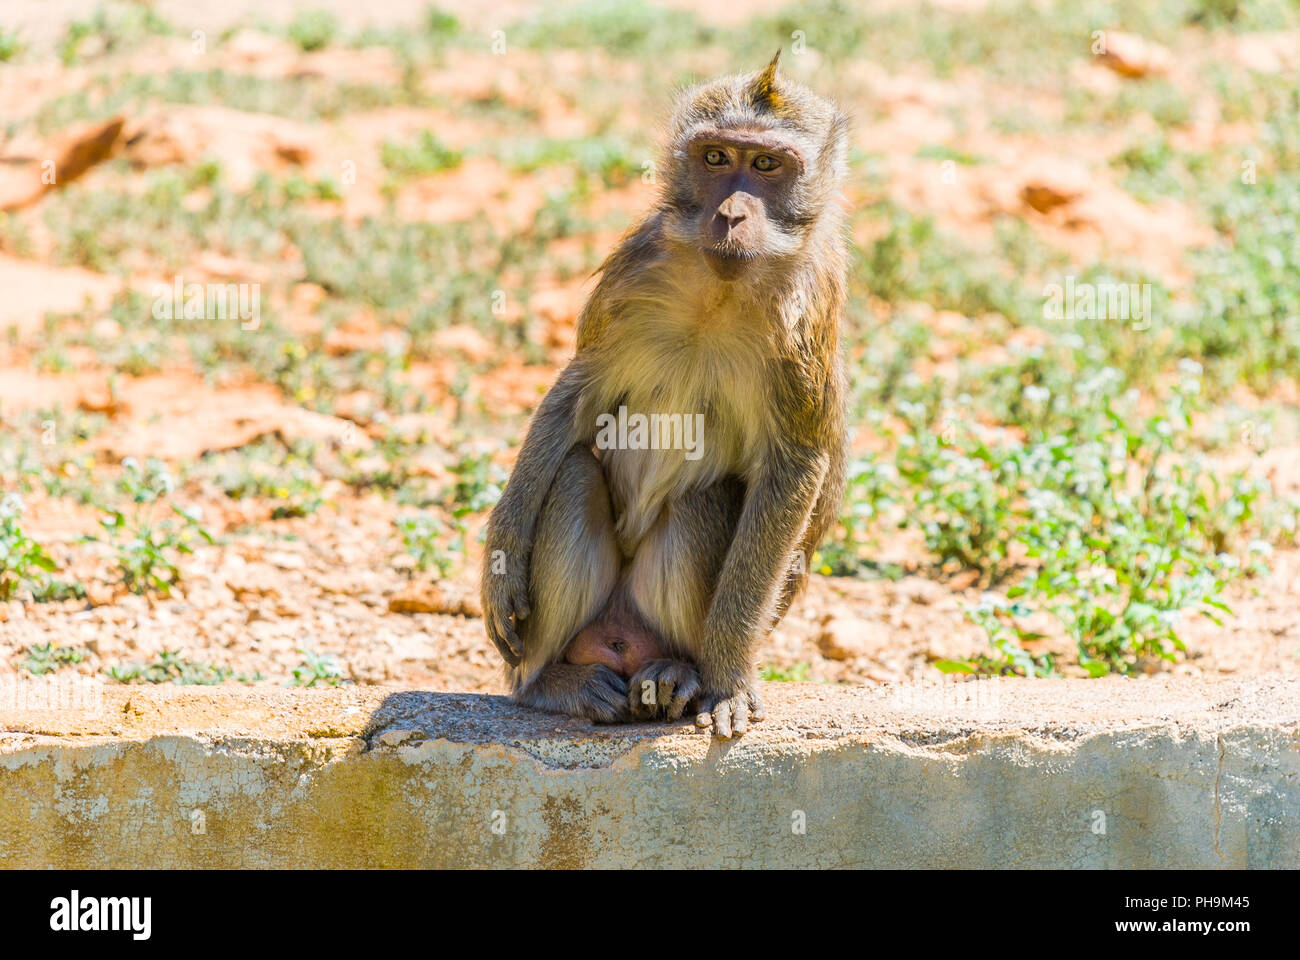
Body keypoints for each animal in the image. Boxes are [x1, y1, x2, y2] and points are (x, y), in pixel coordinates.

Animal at [481, 51, 849, 738]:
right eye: (716, 158)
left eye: (767, 165)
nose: (731, 215)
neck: (718, 292)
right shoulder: (635, 268)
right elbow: (579, 393)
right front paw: (503, 557)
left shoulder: (804, 311)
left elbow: (795, 463)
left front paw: (727, 681)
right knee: (574, 472)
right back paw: (549, 684)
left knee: (703, 500)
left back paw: (680, 671)